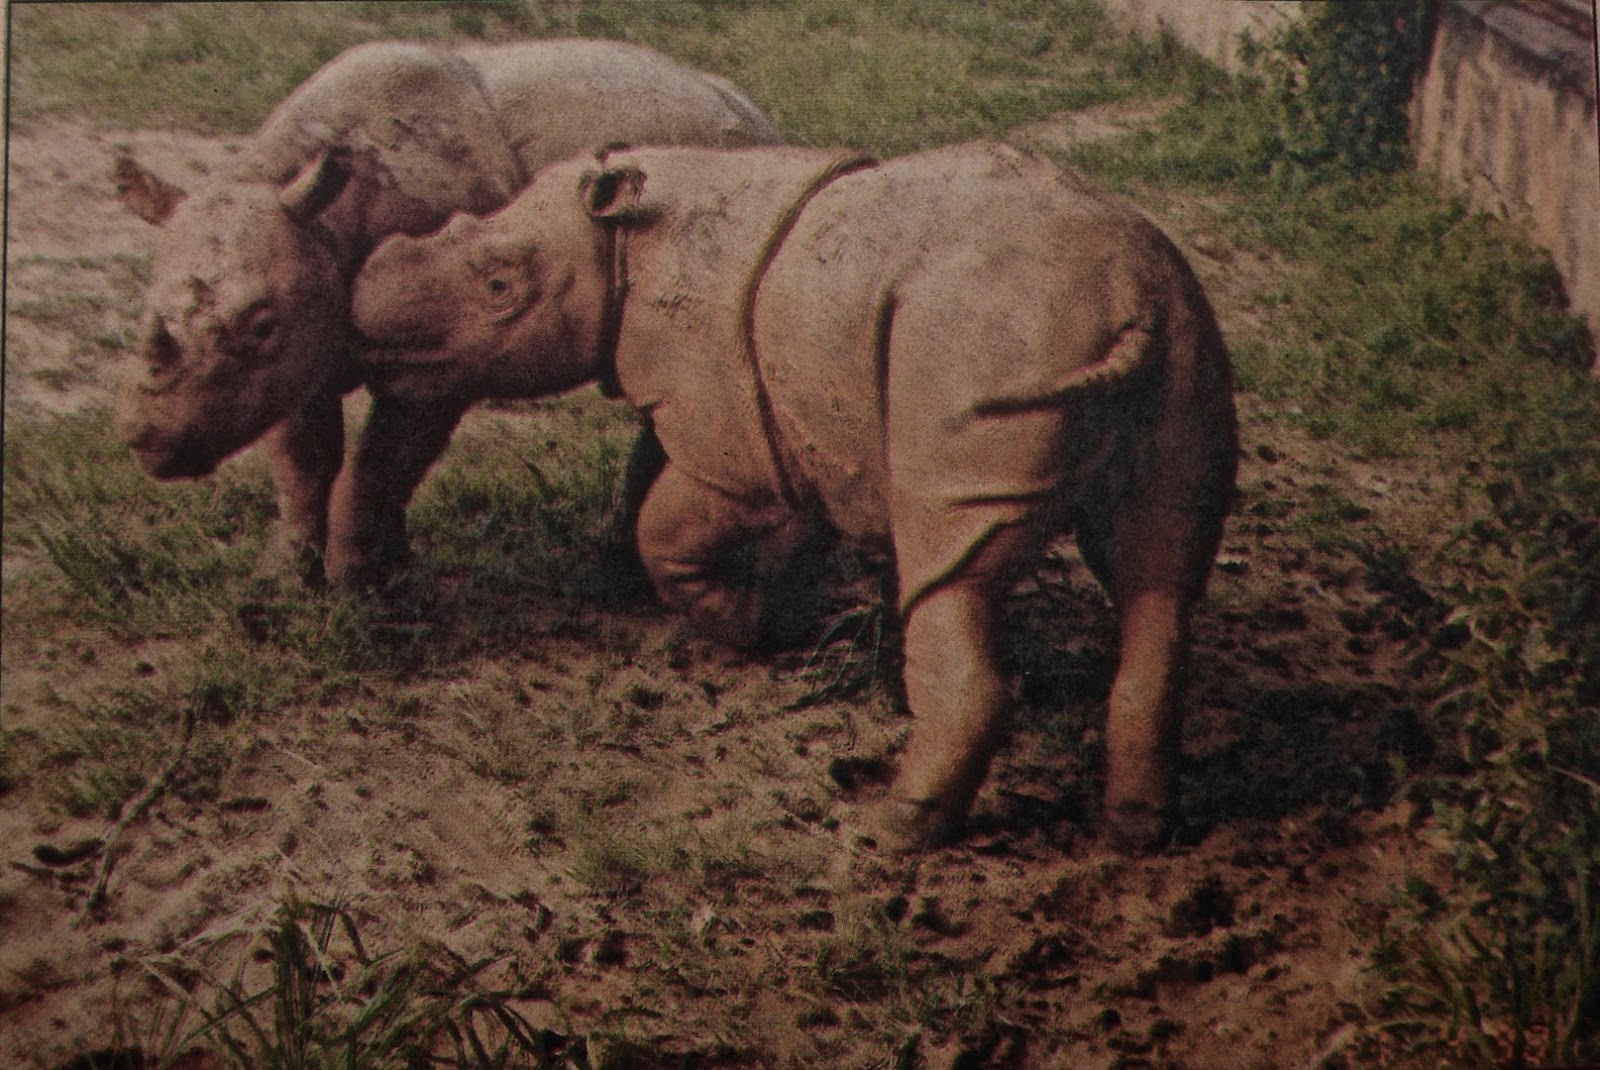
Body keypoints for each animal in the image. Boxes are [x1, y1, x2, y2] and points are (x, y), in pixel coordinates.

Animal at [112, 39, 780, 585]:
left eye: (259, 325)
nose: (149, 438)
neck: (325, 221)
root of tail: (753, 111)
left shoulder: (444, 356)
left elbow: (382, 463)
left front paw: (361, 583)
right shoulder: (297, 348)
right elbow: (301, 462)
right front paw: (285, 580)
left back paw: (621, 564)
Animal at [350, 143, 1241, 850]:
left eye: (500, 286)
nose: (363, 316)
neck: (621, 243)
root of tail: (1128, 304)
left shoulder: (728, 434)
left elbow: (667, 528)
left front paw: (743, 626)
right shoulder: (798, 428)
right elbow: (795, 528)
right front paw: (788, 618)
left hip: (987, 352)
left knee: (953, 572)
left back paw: (896, 830)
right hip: (1186, 343)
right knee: (1159, 575)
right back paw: (1137, 835)